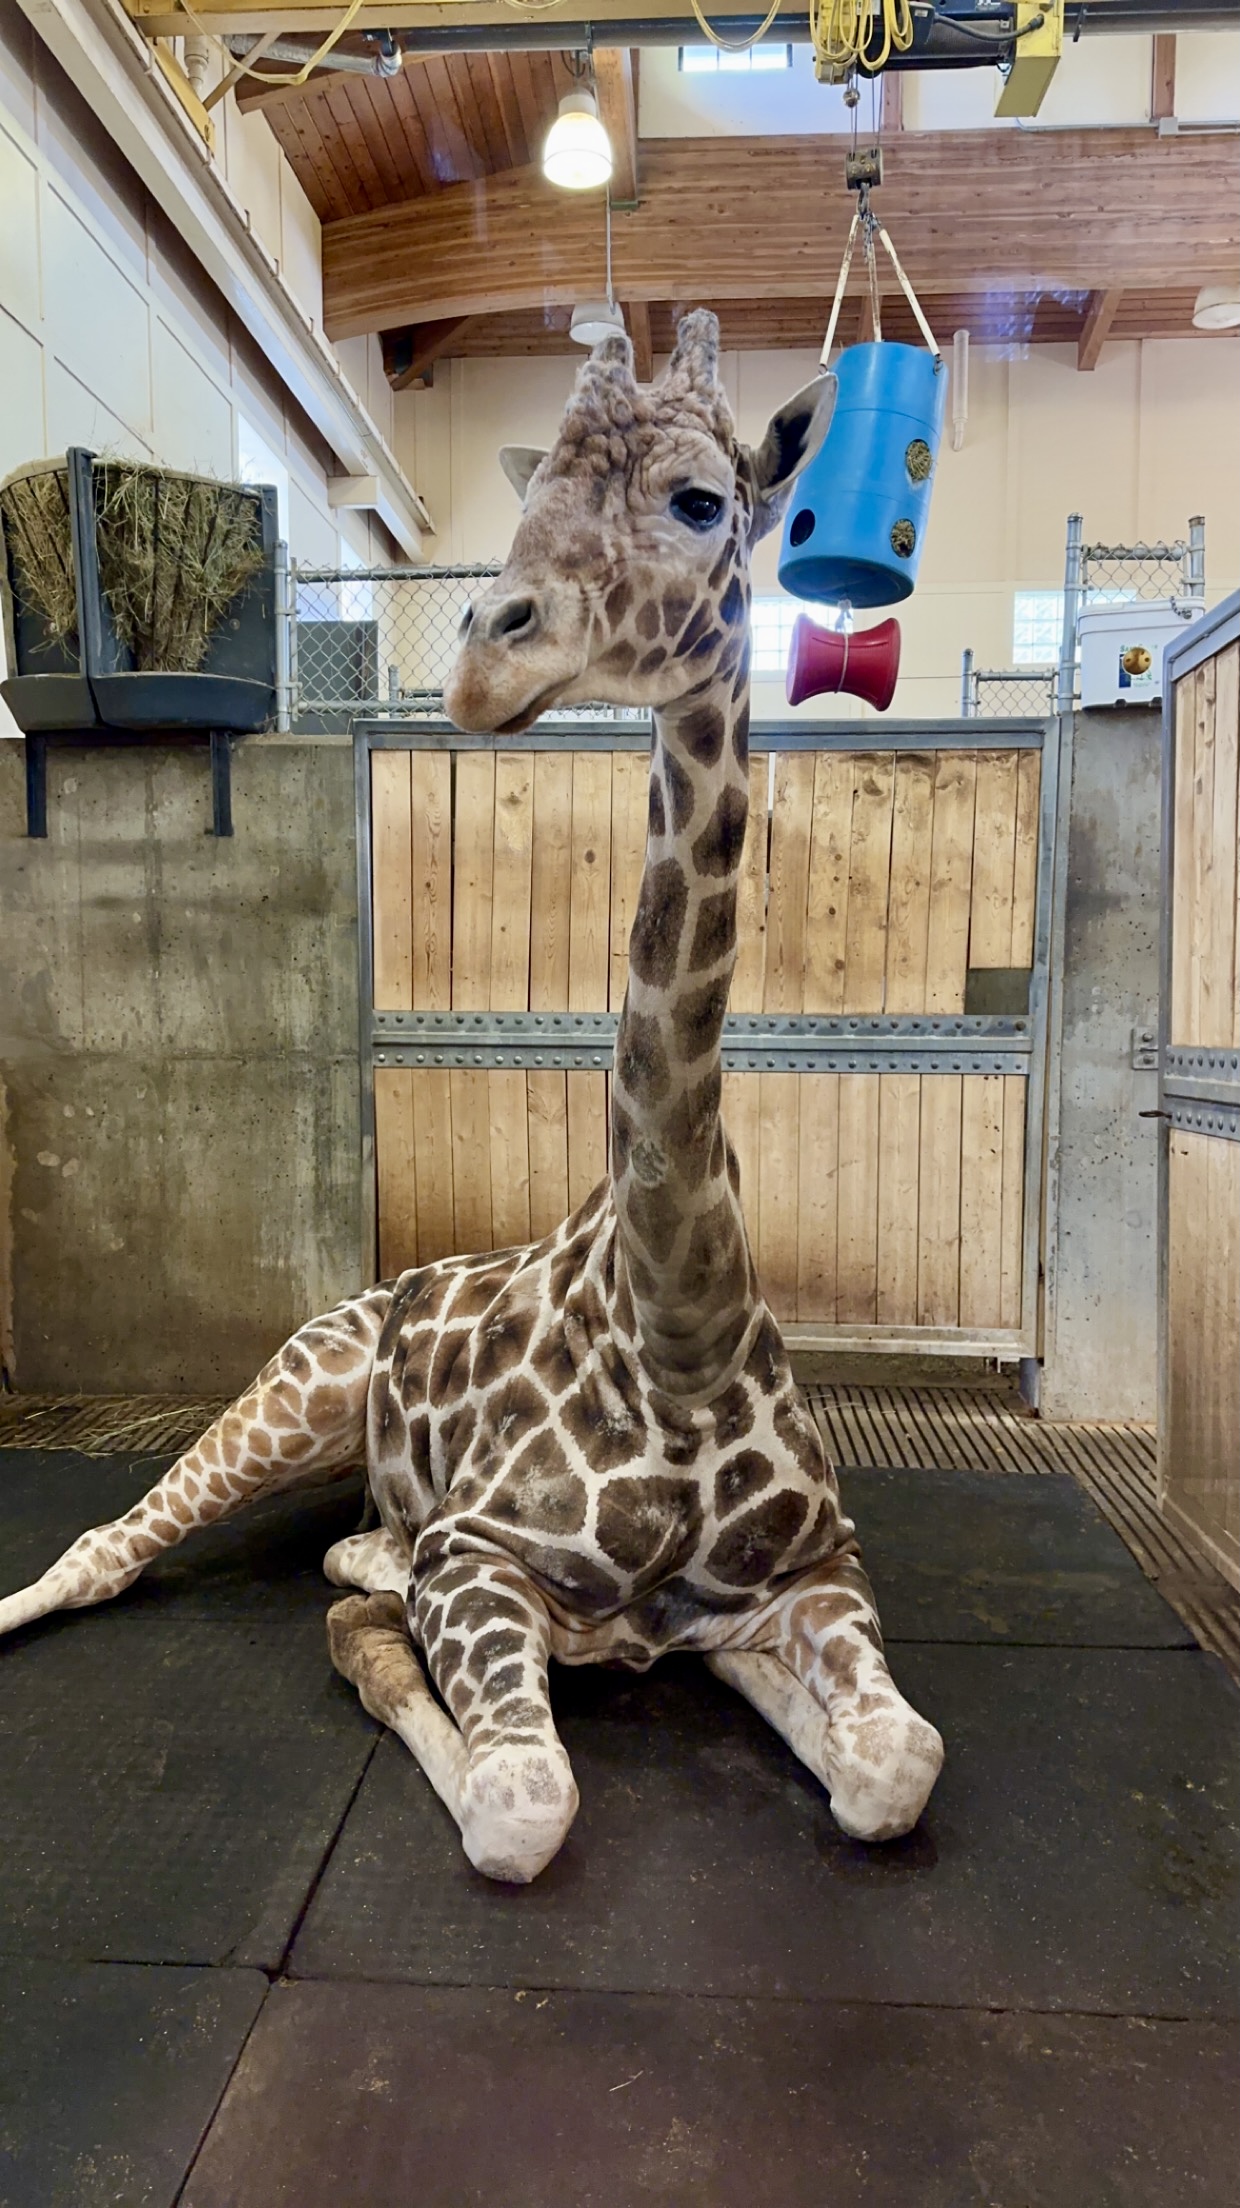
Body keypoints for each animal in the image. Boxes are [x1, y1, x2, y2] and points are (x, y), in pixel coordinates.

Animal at [0, 314, 944, 1883]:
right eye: (533, 491)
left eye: (702, 499)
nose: (482, 670)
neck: (680, 1327)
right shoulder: (482, 1564)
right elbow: (519, 1797)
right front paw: (393, 1633)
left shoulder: (817, 1570)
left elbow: (891, 1766)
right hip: (294, 1390)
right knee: (106, 1550)